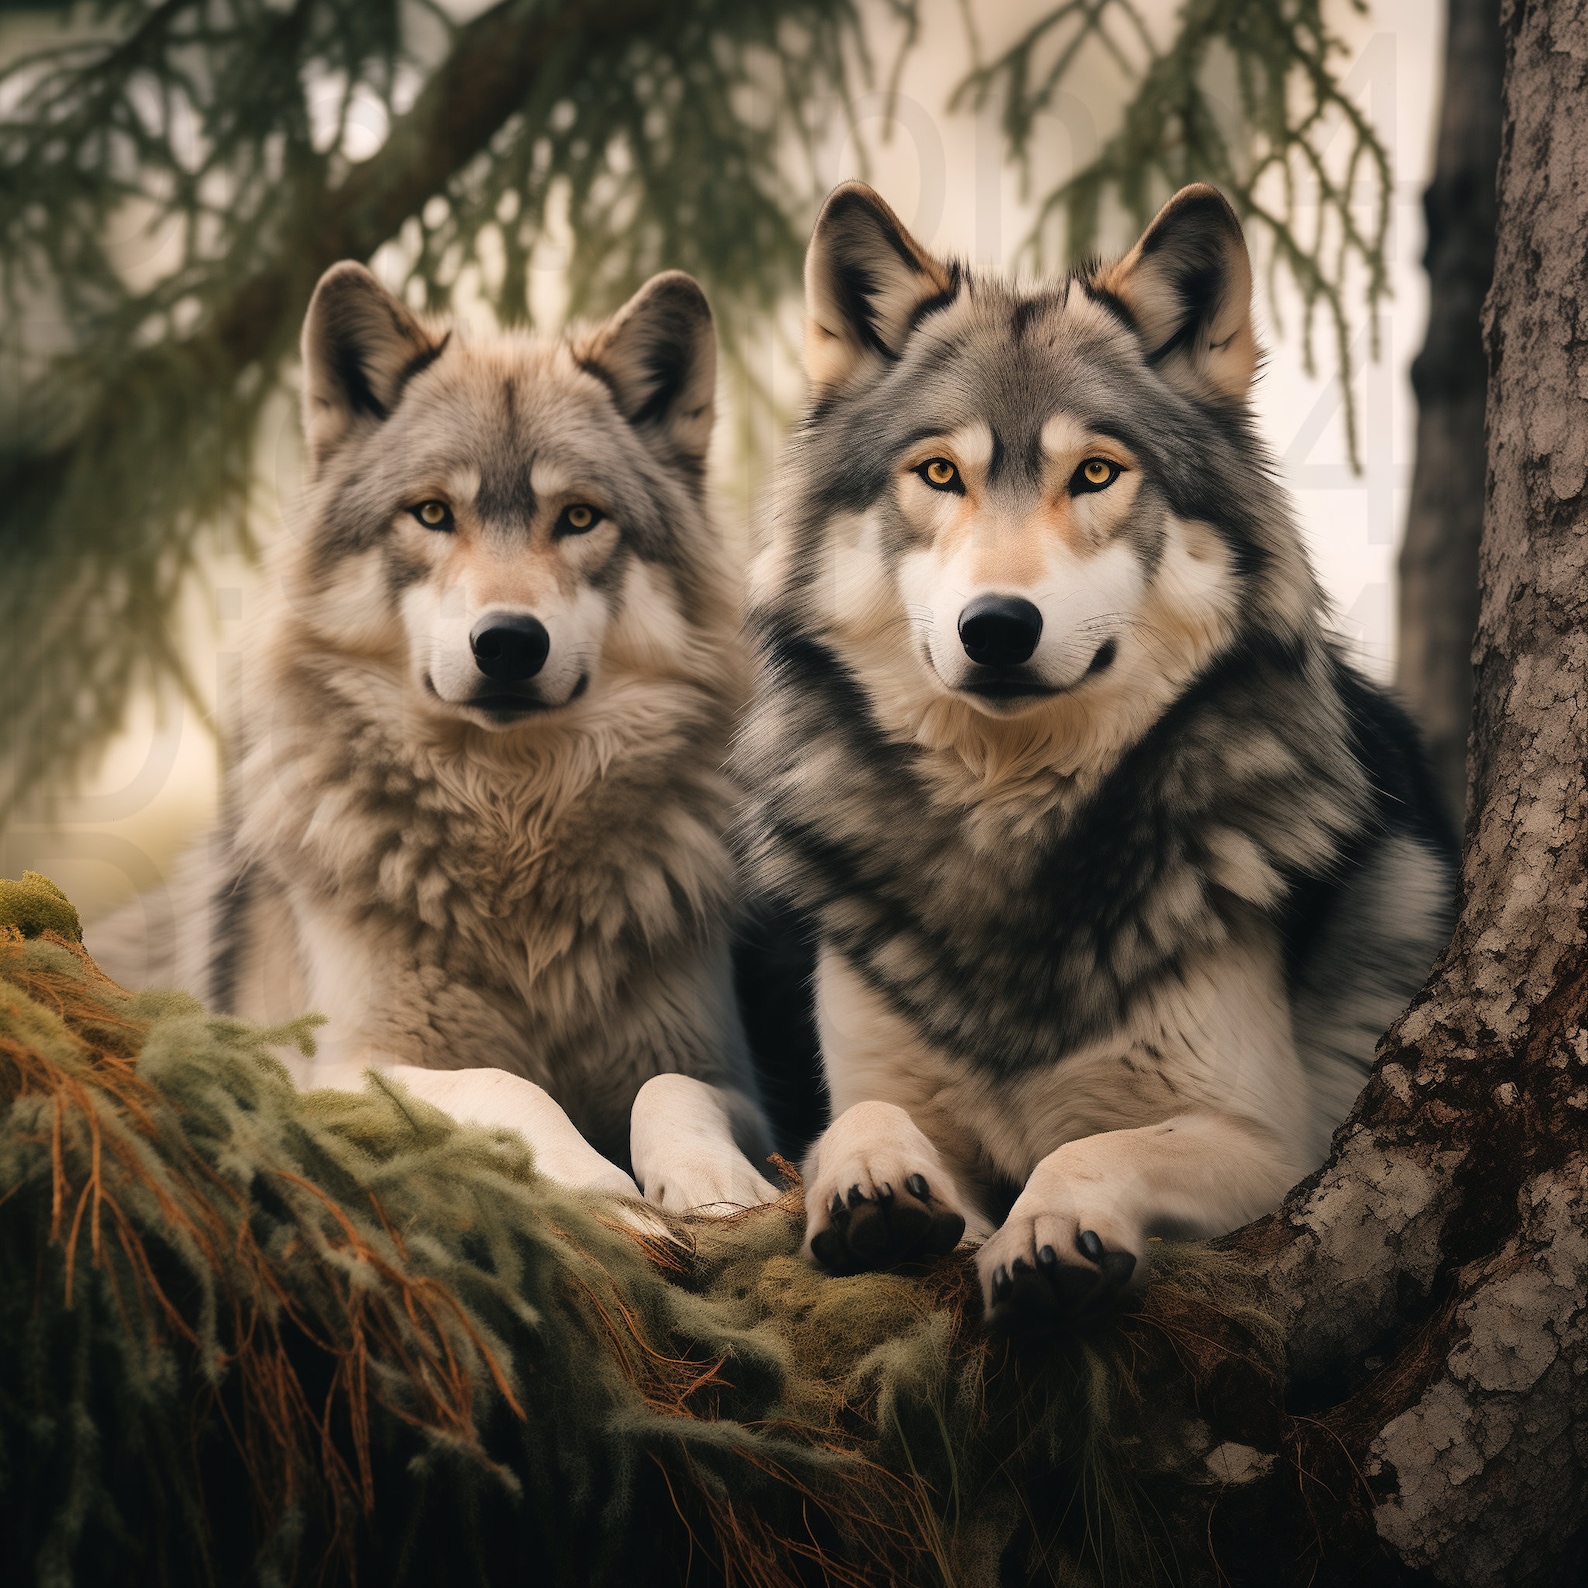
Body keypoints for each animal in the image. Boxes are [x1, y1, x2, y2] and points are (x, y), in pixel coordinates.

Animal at [90, 261, 778, 1213]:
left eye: (579, 518)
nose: (510, 642)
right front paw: (600, 1192)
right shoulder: (331, 1068)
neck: (511, 825)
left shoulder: (728, 1076)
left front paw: (718, 1189)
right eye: (431, 513)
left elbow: (669, 1089)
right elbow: (508, 1085)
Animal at [736, 181, 1458, 1326]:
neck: (1009, 825)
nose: (997, 626)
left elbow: (1084, 1150)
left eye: (1096, 474)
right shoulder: (881, 1090)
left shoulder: (1274, 1147)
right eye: (939, 473)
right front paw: (869, 1188)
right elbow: (852, 1125)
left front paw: (1047, 1233)